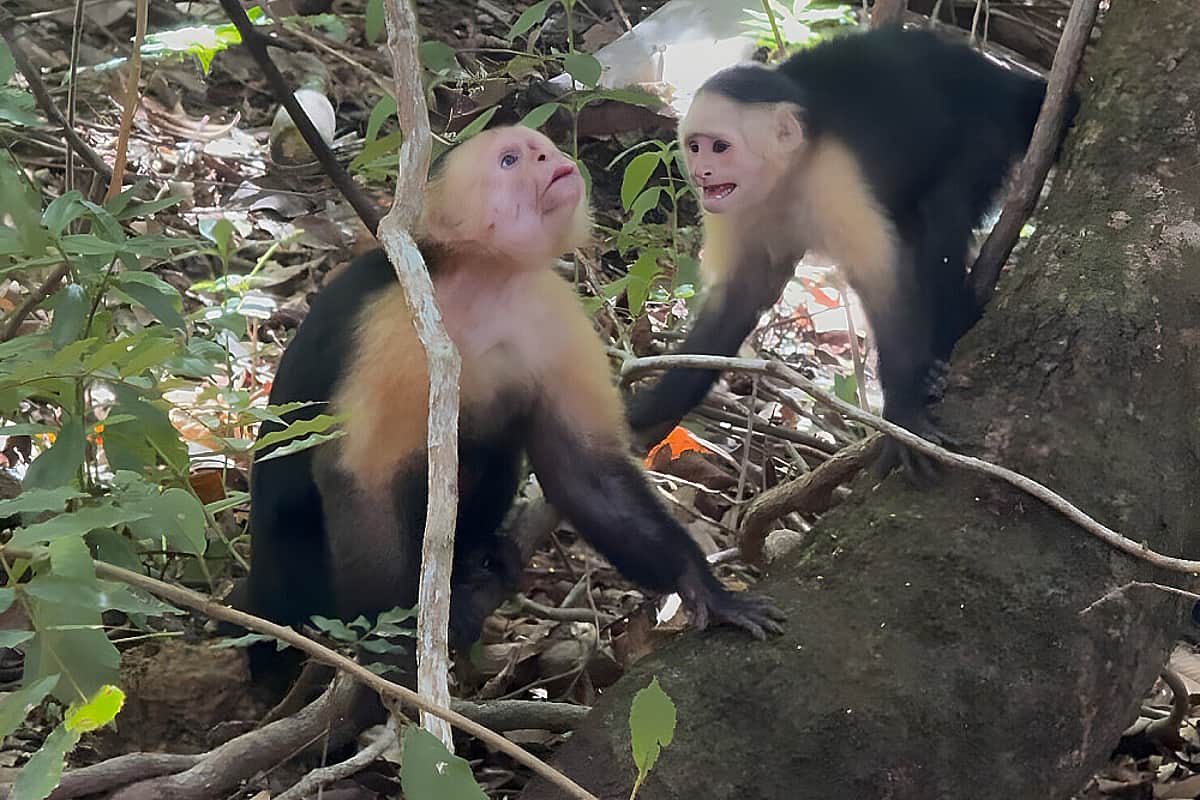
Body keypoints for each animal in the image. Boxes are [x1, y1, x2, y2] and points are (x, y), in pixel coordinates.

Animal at [229, 125, 785, 686]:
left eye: (537, 148)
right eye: (510, 160)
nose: (547, 156)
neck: (483, 279)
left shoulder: (551, 310)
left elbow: (586, 473)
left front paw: (704, 587)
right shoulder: (390, 324)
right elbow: (360, 479)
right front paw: (395, 637)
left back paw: (478, 557)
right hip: (291, 571)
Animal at [624, 26, 1079, 480]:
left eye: (720, 147)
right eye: (695, 146)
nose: (703, 173)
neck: (788, 174)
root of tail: (986, 71)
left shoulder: (834, 177)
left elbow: (882, 280)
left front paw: (903, 411)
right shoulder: (733, 210)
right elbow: (739, 299)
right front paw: (654, 407)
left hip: (982, 129)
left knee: (941, 217)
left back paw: (946, 337)